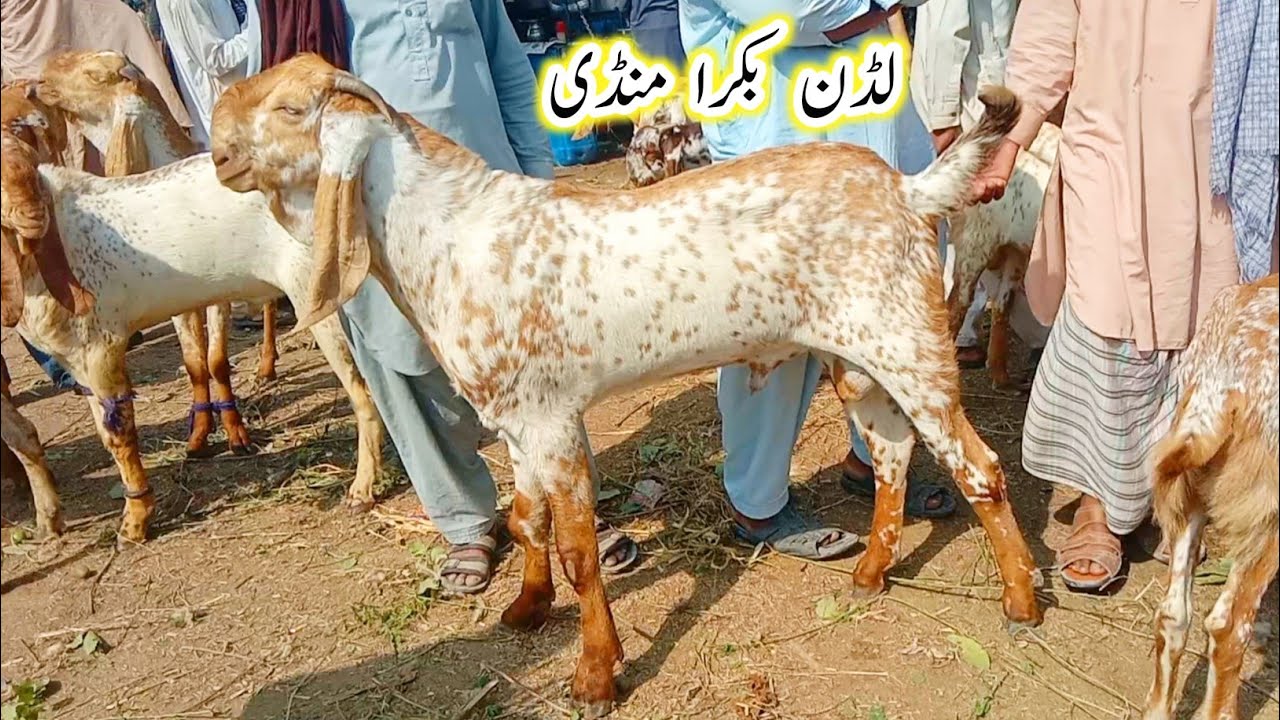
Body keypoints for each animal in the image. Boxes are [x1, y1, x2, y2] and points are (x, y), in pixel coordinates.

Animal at [3, 126, 385, 546]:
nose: (33, 219)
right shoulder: (76, 362)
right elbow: (96, 434)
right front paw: (50, 519)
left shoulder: (101, 348)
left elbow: (119, 435)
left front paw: (135, 522)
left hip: (317, 293)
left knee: (364, 391)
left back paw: (363, 486)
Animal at [35, 50, 280, 457]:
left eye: (94, 74)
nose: (38, 81)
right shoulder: (178, 302)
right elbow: (194, 364)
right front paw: (198, 436)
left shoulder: (219, 296)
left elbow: (216, 361)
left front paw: (236, 434)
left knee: (272, 307)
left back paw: (266, 364)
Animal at [208, 54, 1044, 715]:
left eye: (291, 109)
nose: (215, 147)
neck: (448, 235)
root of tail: (909, 190)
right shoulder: (518, 420)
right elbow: (526, 523)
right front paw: (525, 607)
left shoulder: (549, 421)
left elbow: (579, 553)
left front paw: (595, 677)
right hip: (862, 362)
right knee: (895, 451)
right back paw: (872, 572)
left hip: (911, 347)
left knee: (980, 468)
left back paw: (1022, 601)